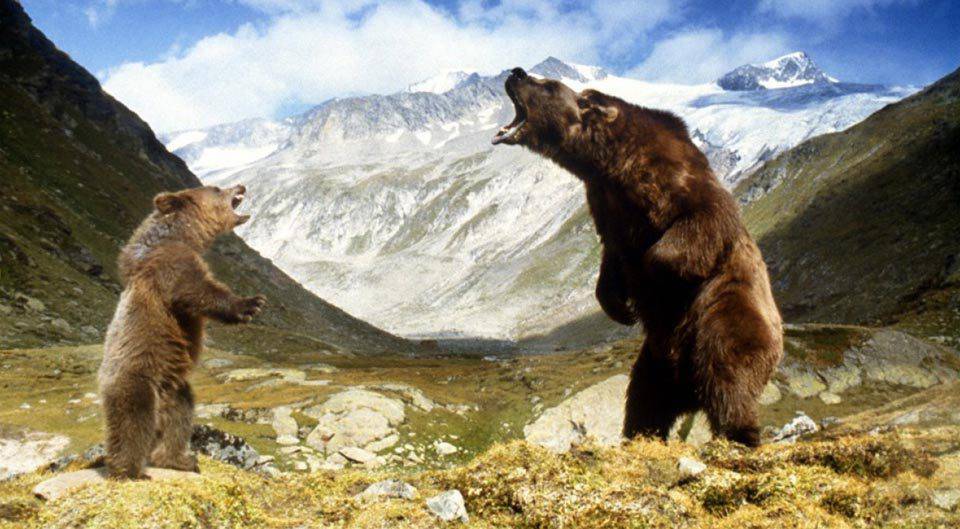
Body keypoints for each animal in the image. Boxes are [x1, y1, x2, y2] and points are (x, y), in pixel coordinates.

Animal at [98, 185, 266, 478]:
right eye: (216, 189)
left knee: (179, 417)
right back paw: (129, 470)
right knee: (133, 421)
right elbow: (196, 290)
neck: (184, 236)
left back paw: (180, 459)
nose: (240, 186)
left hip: (175, 385)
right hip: (136, 378)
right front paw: (251, 304)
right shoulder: (171, 263)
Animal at [493, 68, 783, 447]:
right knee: (645, 399)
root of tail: (687, 387)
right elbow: (611, 259)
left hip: (725, 314)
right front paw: (620, 307)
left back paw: (739, 434)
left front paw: (649, 279)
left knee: (728, 373)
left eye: (548, 84)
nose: (515, 72)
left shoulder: (678, 180)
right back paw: (640, 435)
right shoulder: (608, 207)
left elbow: (699, 222)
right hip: (654, 361)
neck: (608, 163)